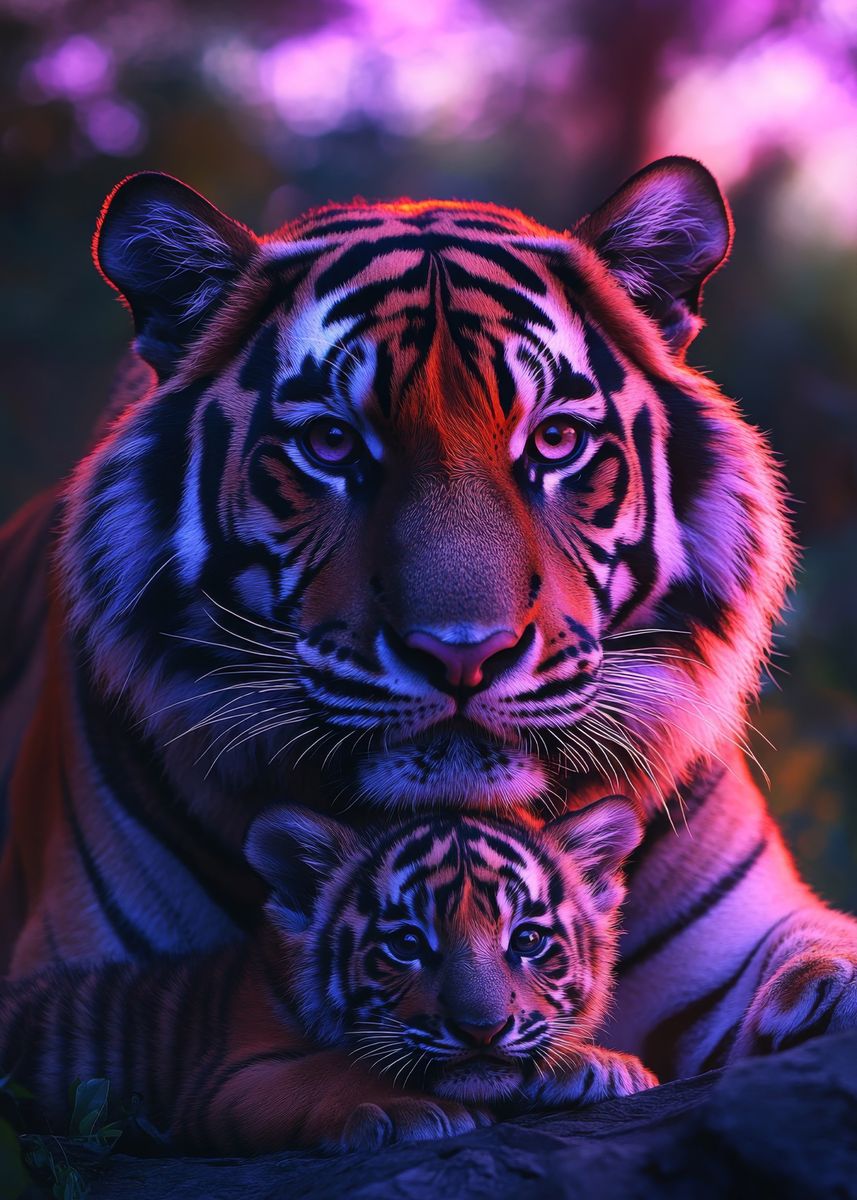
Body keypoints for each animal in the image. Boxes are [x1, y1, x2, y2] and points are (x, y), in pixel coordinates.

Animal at [0, 797, 655, 1152]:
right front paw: (408, 1109)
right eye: (407, 945)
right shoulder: (228, 1082)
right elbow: (325, 1067)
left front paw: (602, 1066)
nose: (482, 1030)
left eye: (527, 940)